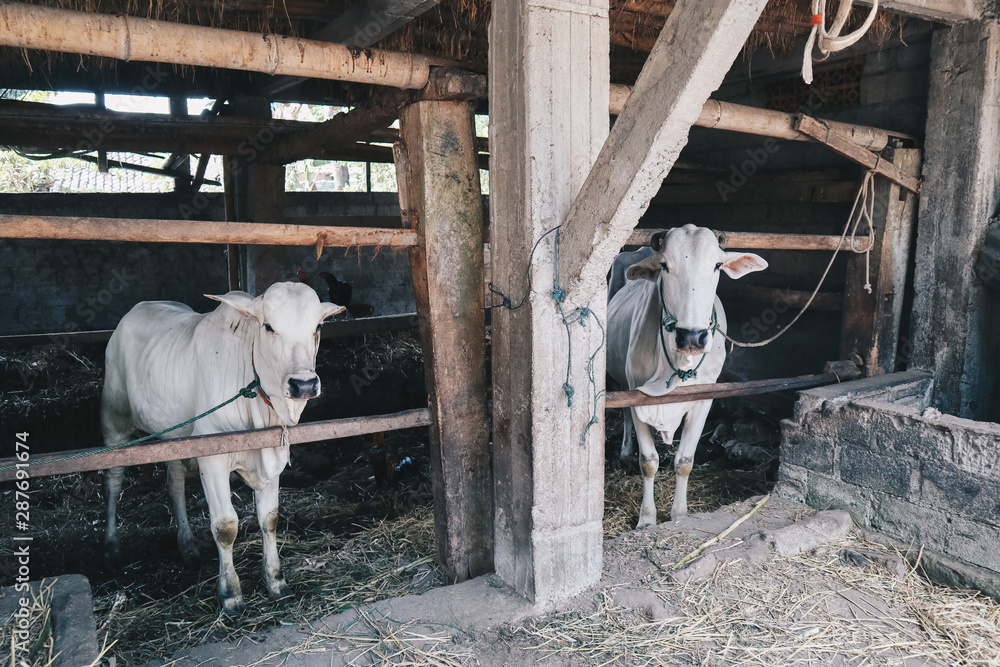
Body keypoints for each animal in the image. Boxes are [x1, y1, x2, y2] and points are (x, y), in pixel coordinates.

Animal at [101, 281, 345, 614]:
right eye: (268, 326)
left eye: (317, 327)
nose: (304, 385)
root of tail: (138, 308)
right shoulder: (213, 458)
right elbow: (226, 526)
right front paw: (231, 593)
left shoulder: (273, 455)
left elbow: (270, 519)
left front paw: (275, 581)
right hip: (114, 420)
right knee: (113, 482)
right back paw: (112, 548)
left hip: (174, 436)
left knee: (174, 484)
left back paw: (187, 545)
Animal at [607, 225, 767, 529]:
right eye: (664, 266)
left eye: (717, 265)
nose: (692, 336)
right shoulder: (638, 395)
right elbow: (649, 461)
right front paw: (647, 519)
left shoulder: (703, 400)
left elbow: (684, 461)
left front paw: (679, 515)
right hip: (622, 379)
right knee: (625, 417)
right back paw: (624, 454)